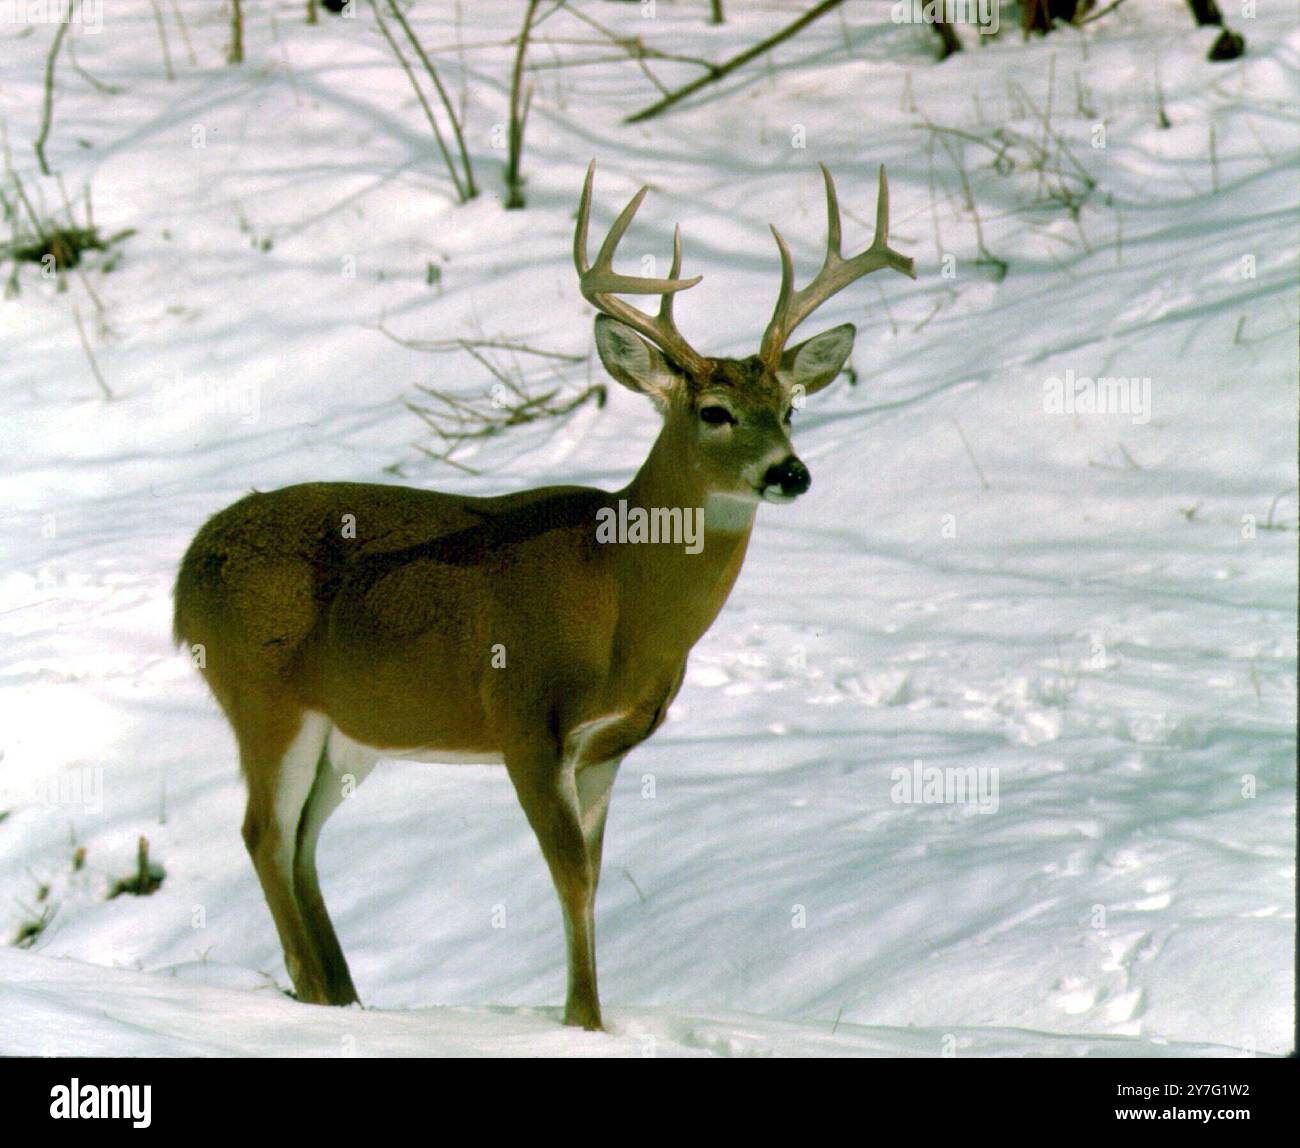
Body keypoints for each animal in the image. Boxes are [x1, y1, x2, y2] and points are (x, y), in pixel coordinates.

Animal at [173, 162, 914, 1031]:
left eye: (791, 407)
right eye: (714, 411)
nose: (790, 471)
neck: (621, 597)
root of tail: (185, 575)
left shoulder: (607, 747)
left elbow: (590, 872)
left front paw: (590, 1017)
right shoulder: (524, 718)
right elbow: (571, 875)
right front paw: (585, 1023)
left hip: (346, 732)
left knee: (300, 845)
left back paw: (343, 994)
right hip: (262, 697)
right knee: (261, 832)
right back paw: (318, 993)